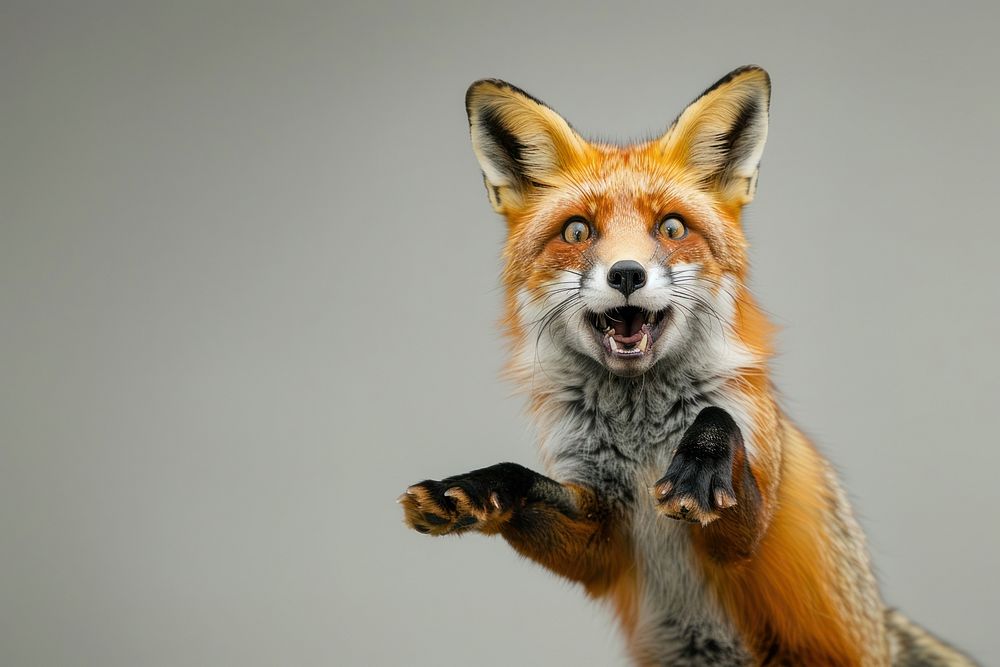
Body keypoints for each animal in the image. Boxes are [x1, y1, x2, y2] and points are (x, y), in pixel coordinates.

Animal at [398, 66, 977, 666]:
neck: (640, 436)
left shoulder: (749, 529)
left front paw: (699, 462)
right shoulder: (601, 530)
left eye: (672, 228)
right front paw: (473, 487)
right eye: (577, 231)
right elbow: (522, 480)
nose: (627, 273)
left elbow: (718, 421)